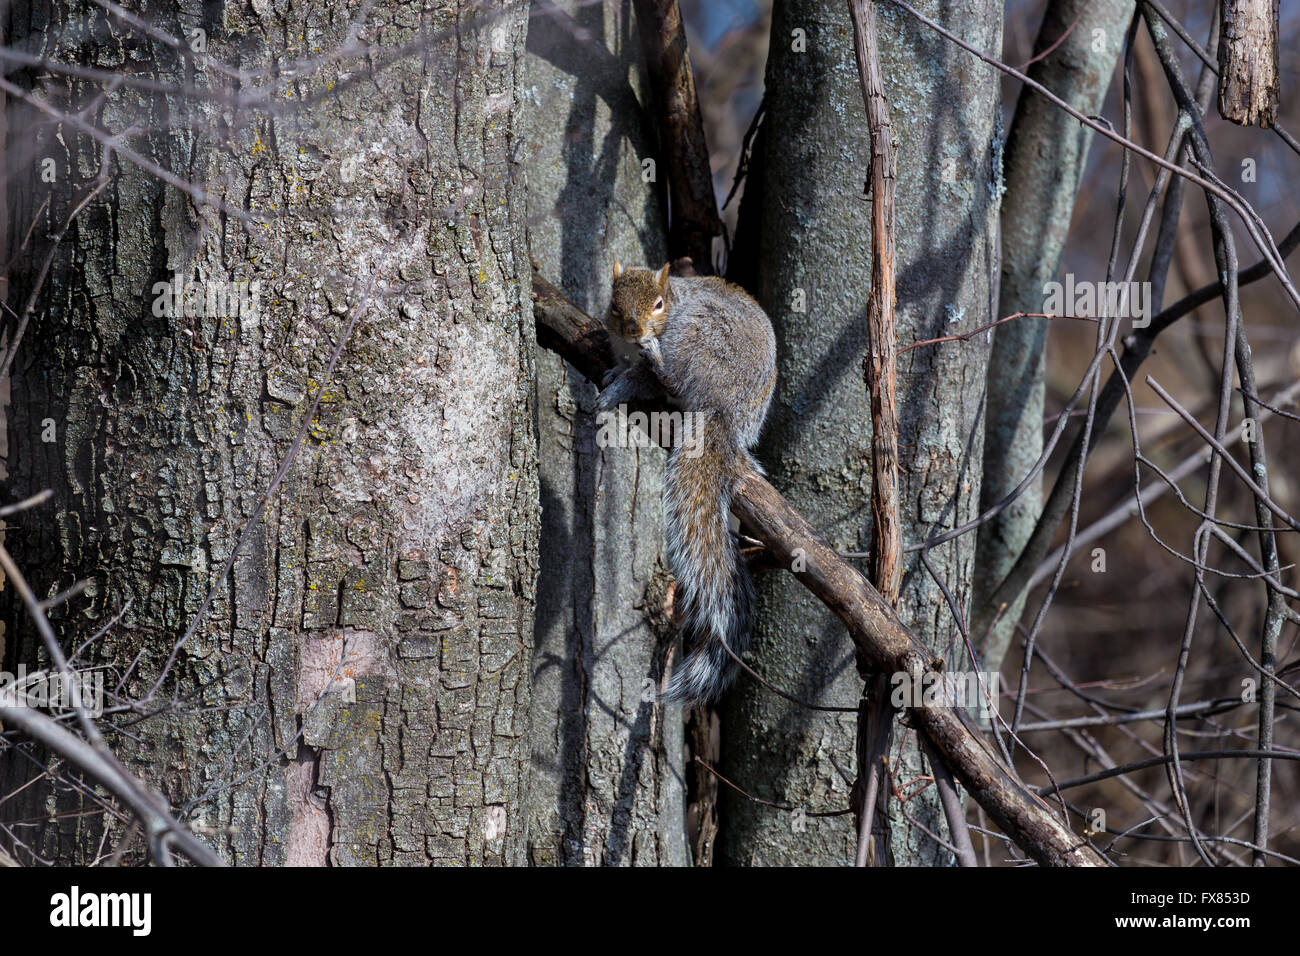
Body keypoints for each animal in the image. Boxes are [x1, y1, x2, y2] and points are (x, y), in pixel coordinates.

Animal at [597, 261, 777, 705]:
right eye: (613, 304)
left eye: (660, 304)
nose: (633, 329)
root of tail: (724, 409)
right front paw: (617, 366)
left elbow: (640, 379)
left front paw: (619, 384)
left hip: (700, 337)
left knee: (673, 381)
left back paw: (660, 366)